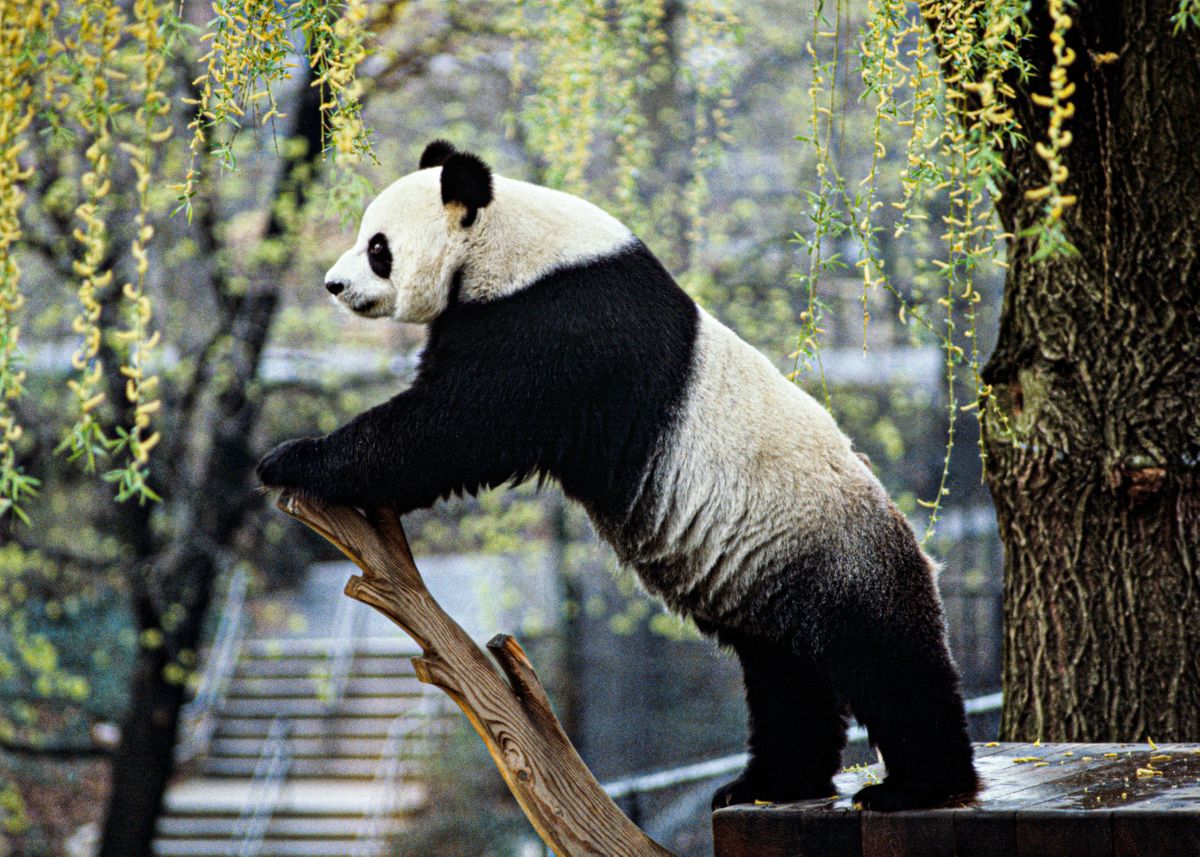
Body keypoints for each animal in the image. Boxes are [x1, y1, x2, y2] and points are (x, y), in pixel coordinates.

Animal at [258, 140, 978, 813]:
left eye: (378, 247)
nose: (334, 285)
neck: (511, 241)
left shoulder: (556, 323)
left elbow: (454, 426)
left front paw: (291, 458)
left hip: (837, 555)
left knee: (887, 663)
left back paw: (918, 787)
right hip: (772, 578)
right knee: (785, 678)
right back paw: (769, 783)